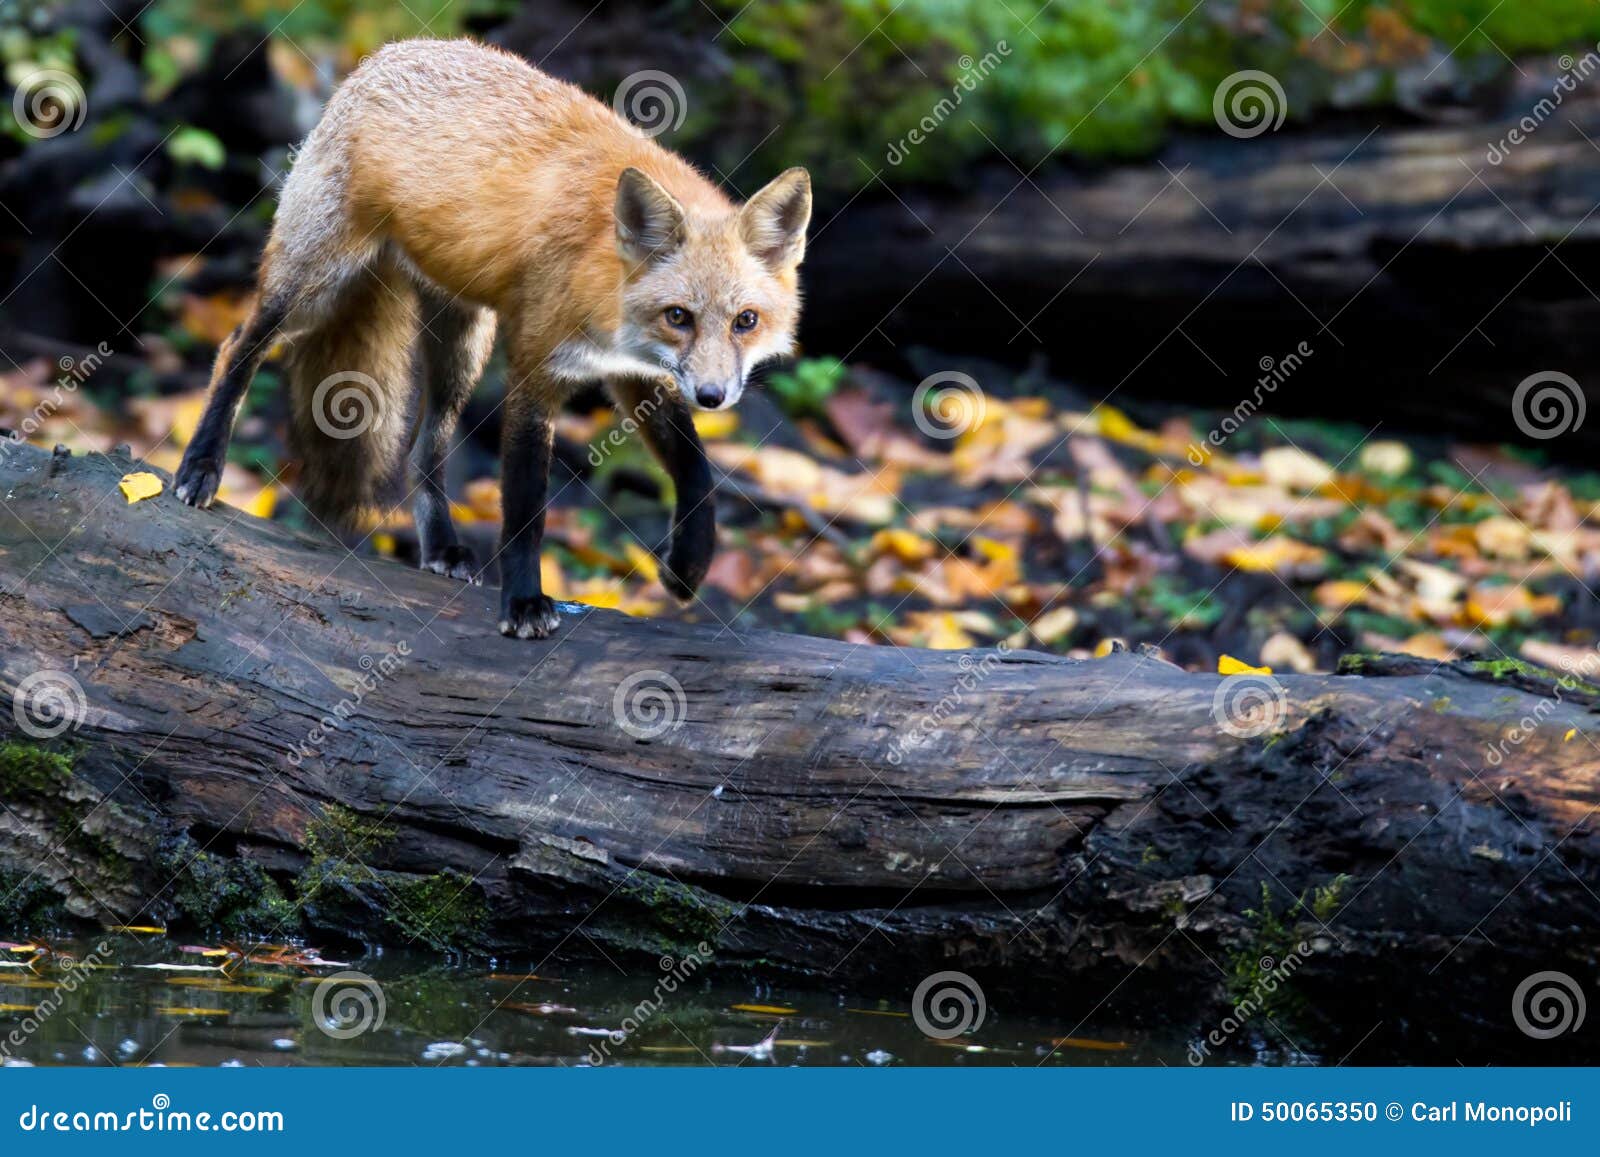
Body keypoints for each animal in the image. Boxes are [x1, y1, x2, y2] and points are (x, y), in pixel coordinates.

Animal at [174, 38, 811, 640]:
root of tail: (383, 56)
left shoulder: (636, 374)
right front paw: (524, 603)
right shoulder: (535, 369)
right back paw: (200, 466)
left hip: (462, 347)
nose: (713, 397)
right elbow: (526, 506)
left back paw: (440, 546)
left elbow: (697, 471)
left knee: (422, 451)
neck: (604, 278)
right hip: (316, 288)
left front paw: (689, 566)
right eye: (679, 316)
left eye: (745, 321)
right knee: (236, 346)